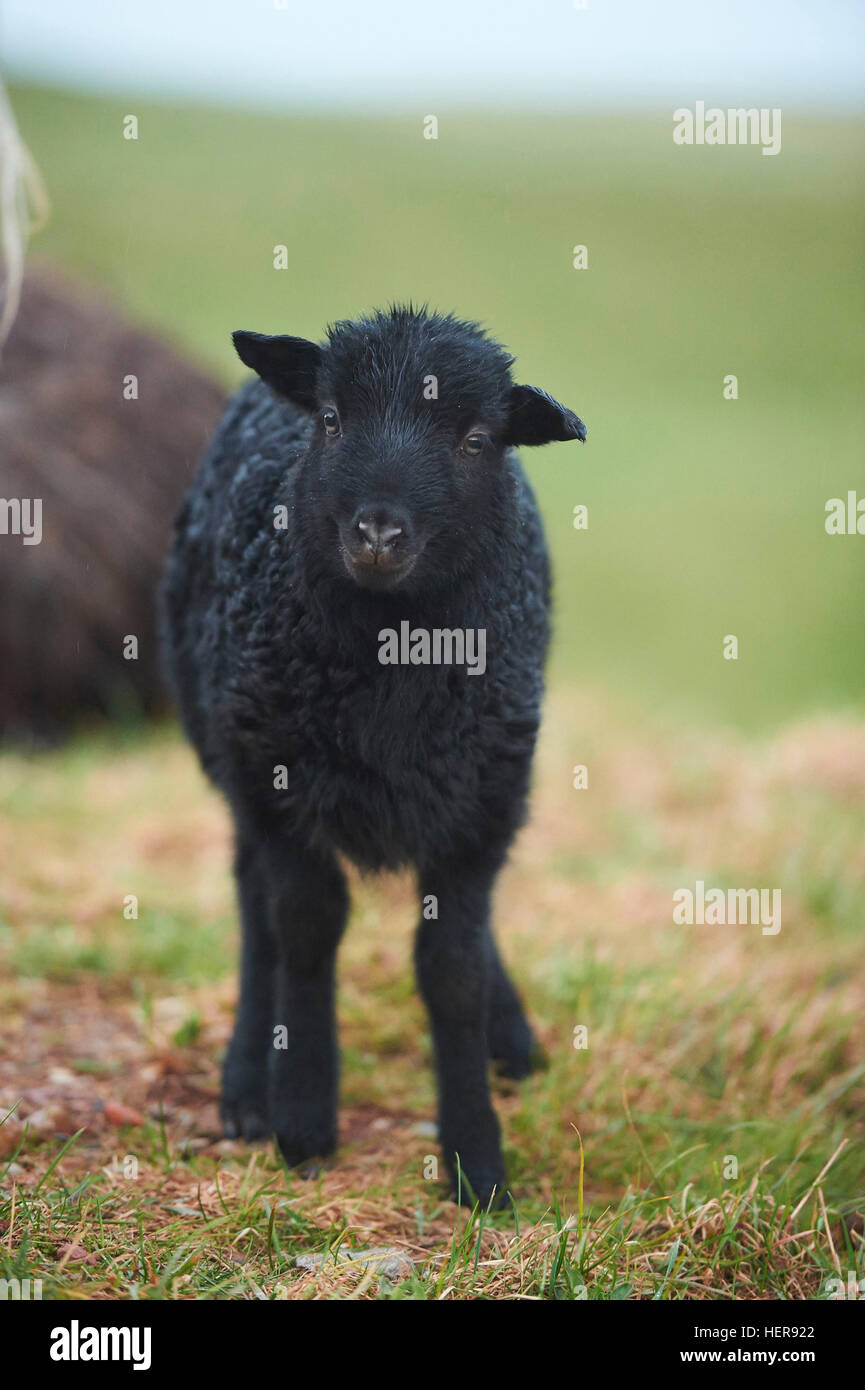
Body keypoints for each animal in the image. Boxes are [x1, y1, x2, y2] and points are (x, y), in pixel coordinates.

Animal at [162, 305, 586, 1207]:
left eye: (477, 438)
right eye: (330, 419)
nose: (379, 531)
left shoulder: (483, 802)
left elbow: (453, 968)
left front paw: (476, 1160)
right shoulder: (279, 785)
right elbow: (305, 929)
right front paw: (301, 1116)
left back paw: (512, 1040)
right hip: (230, 748)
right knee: (253, 904)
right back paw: (247, 1080)